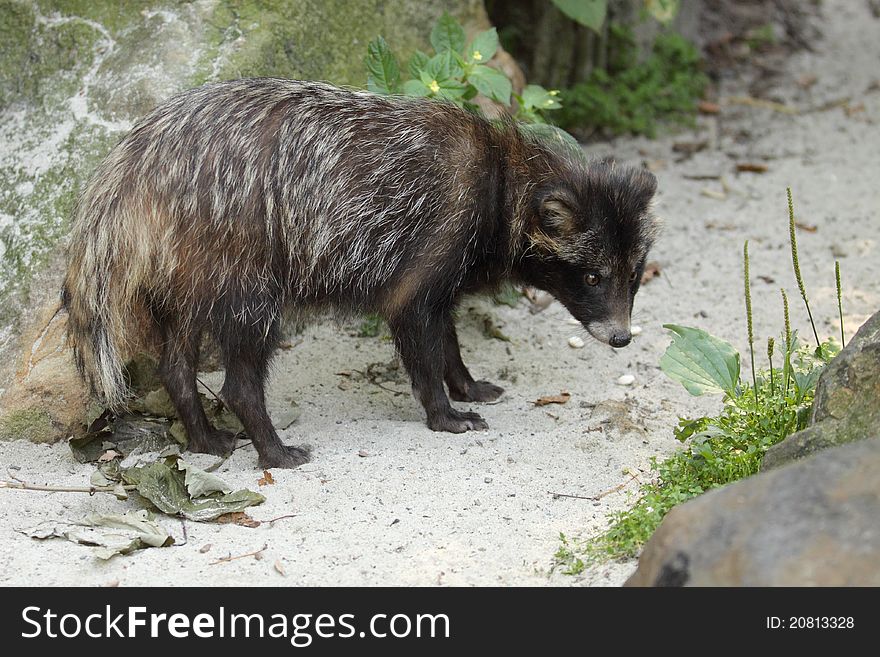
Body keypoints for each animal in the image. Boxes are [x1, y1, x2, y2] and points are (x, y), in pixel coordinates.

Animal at [62, 78, 656, 466]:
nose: (622, 338)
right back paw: (273, 451)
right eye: (594, 276)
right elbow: (424, 349)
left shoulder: (441, 277)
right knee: (238, 384)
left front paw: (465, 385)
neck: (500, 177)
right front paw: (443, 413)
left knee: (177, 370)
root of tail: (135, 164)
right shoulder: (421, 264)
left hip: (188, 283)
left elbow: (448, 340)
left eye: (633, 275)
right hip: (246, 280)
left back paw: (205, 437)